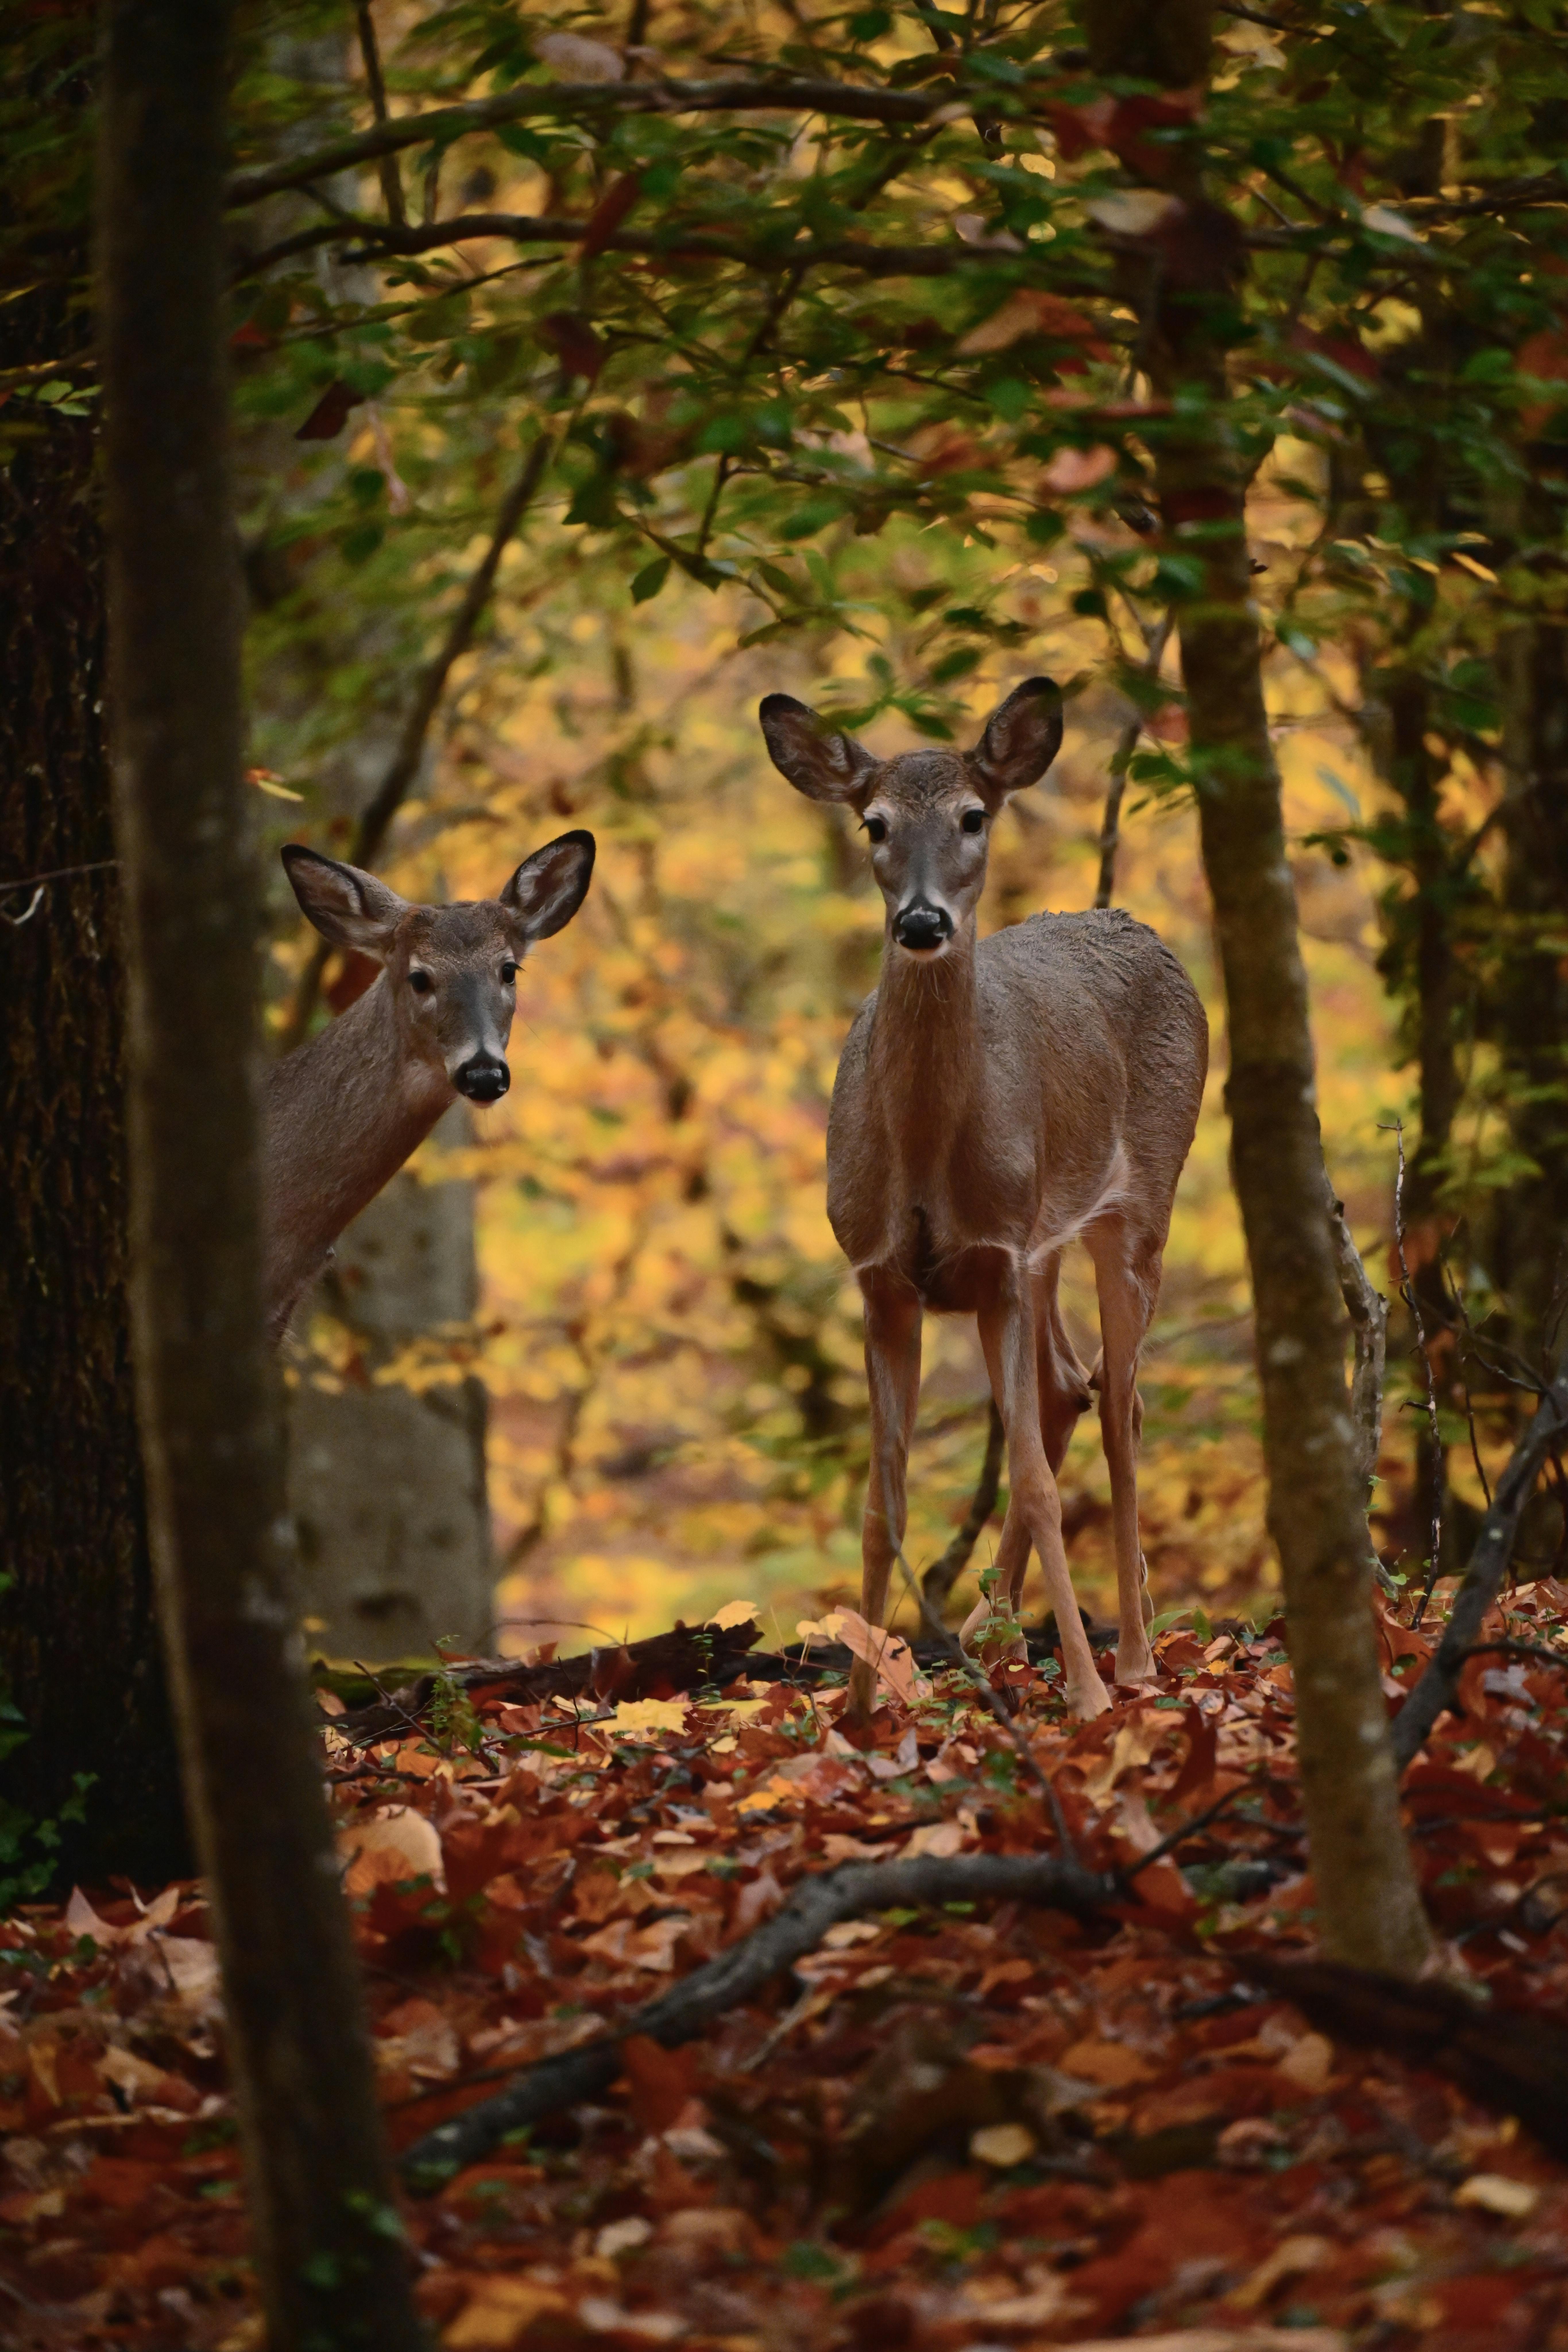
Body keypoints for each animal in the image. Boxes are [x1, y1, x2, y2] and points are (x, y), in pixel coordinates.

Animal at [759, 679, 1208, 1722]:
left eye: (973, 816)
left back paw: (1132, 1658)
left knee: (1121, 1408)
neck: (926, 1154)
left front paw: (1084, 1692)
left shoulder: (997, 1258)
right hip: (1044, 1241)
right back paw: (988, 1630)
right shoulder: (884, 1276)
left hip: (1140, 1204)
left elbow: (1036, 1484)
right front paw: (857, 1706)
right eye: (874, 823)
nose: (922, 923)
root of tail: (1139, 925)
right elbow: (883, 1501)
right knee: (1069, 1386)